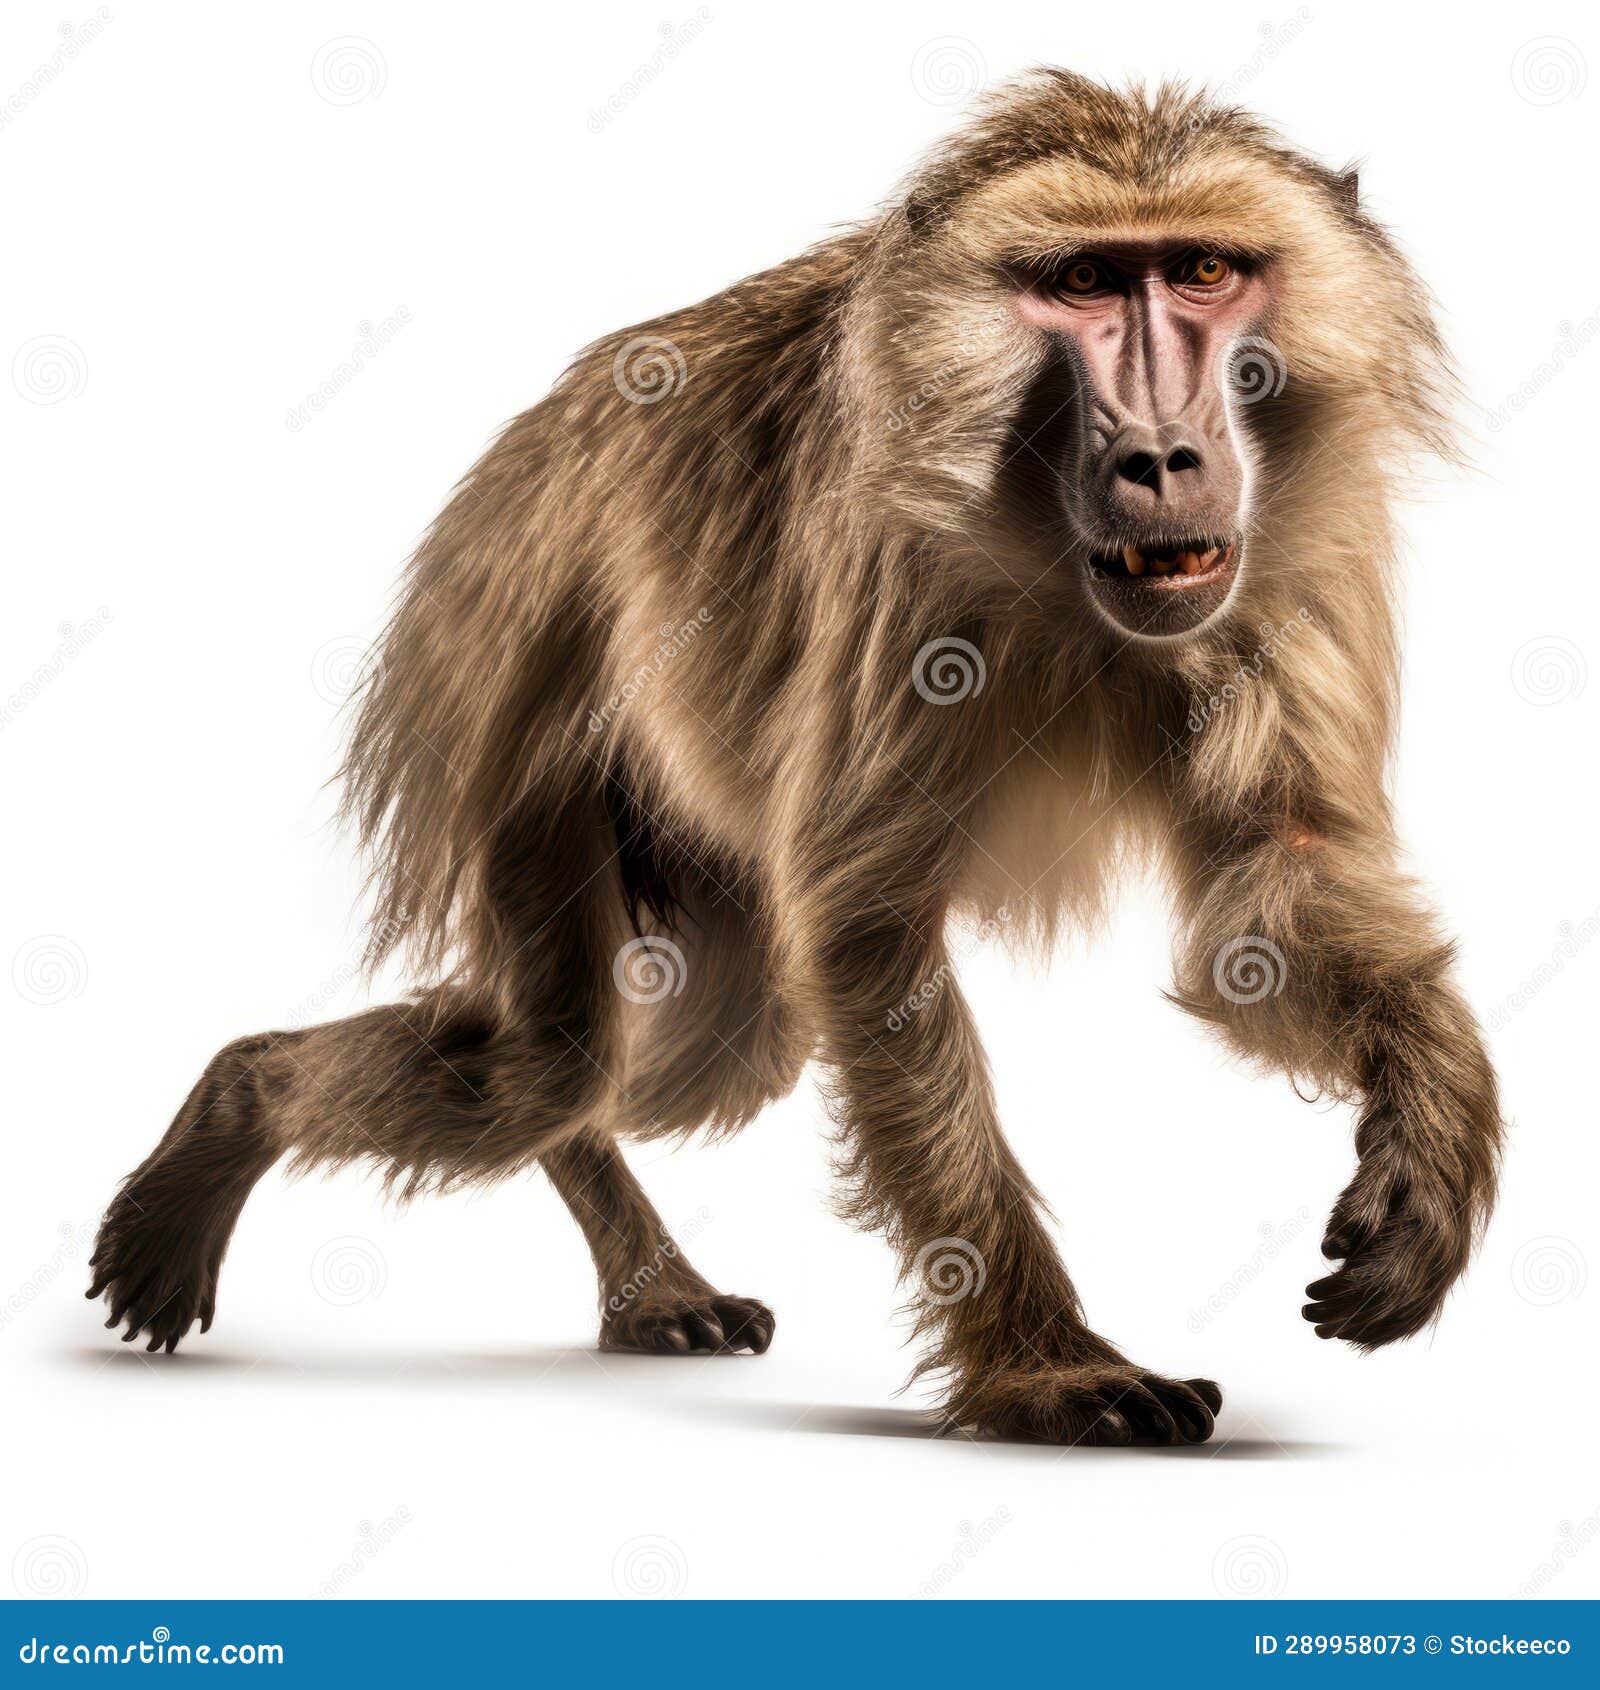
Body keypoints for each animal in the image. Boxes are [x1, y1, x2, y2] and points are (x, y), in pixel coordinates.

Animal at [89, 72, 1501, 1445]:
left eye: (1204, 271)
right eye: (1082, 282)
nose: (1161, 453)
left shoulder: (1287, 571)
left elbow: (1269, 897)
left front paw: (1428, 1124)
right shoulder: (897, 571)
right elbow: (869, 932)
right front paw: (1045, 1368)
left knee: (682, 1052)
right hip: (497, 663)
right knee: (551, 1062)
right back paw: (240, 1098)